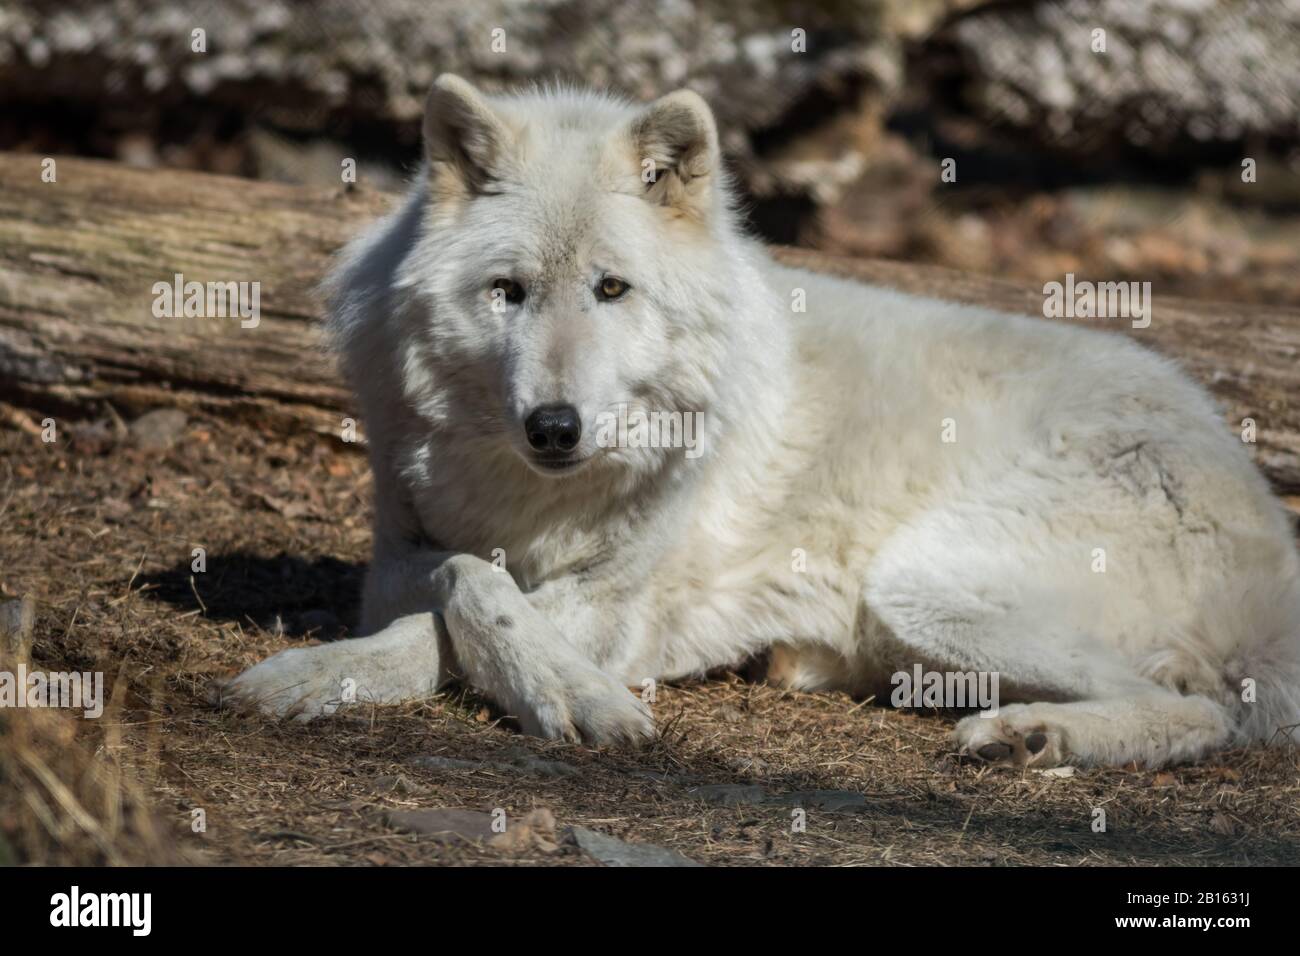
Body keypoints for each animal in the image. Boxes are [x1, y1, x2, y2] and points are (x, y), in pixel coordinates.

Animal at [223, 75, 1300, 768]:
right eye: (509, 291)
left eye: (611, 289)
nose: (556, 426)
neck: (535, 501)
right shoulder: (400, 556)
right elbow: (446, 589)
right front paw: (315, 675)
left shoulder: (612, 605)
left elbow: (457, 605)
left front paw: (574, 700)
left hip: (920, 587)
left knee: (1196, 709)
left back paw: (1036, 738)